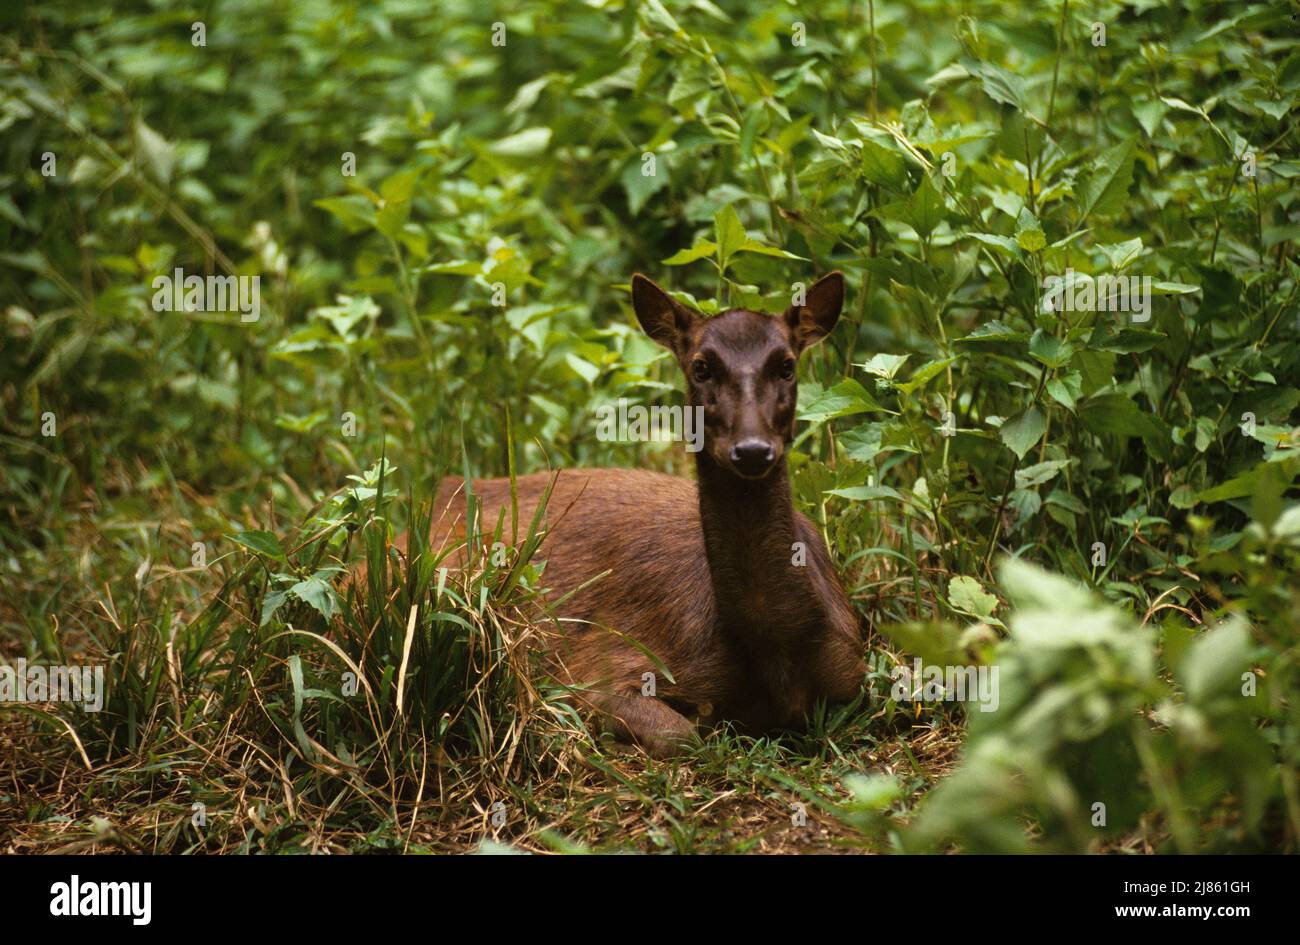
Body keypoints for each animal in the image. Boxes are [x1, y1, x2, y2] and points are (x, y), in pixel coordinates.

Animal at [425, 272, 866, 757]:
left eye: (787, 364)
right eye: (701, 366)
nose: (752, 450)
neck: (775, 651)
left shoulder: (852, 674)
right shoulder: (598, 668)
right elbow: (681, 734)